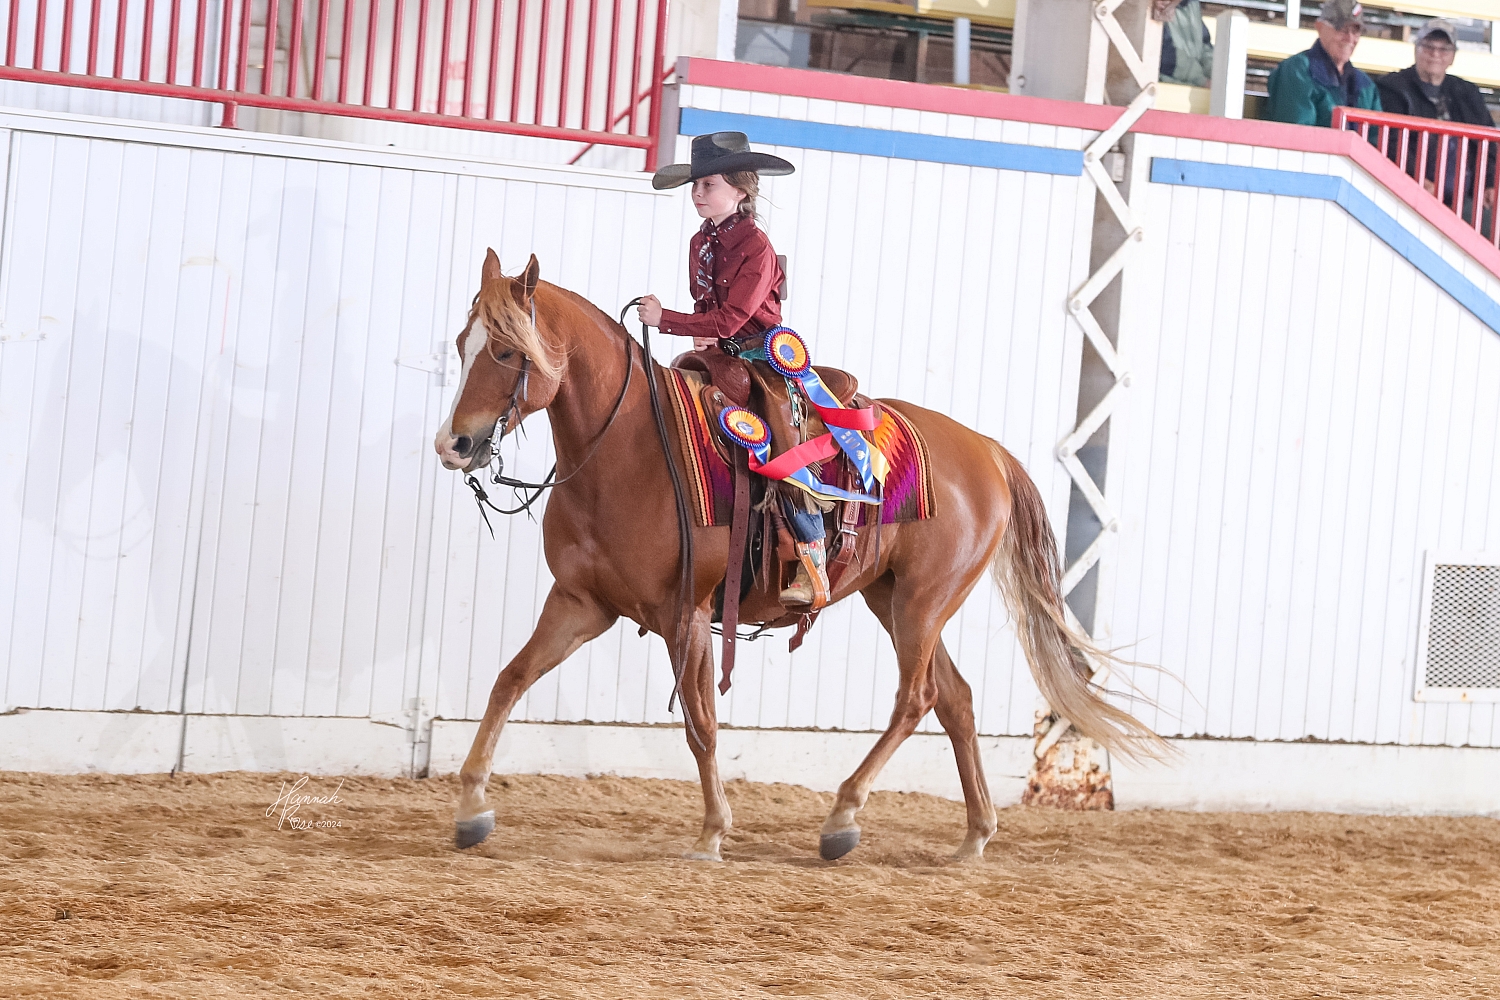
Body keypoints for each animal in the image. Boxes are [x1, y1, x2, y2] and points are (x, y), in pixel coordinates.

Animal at [432, 249, 1160, 862]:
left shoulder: (686, 616)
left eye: (504, 350)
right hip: (891, 597)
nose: (454, 444)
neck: (630, 448)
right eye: (465, 345)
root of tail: (987, 450)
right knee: (955, 698)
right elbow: (509, 680)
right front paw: (470, 806)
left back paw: (843, 818)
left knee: (917, 697)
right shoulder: (582, 604)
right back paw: (974, 835)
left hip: (923, 602)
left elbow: (700, 722)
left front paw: (712, 833)